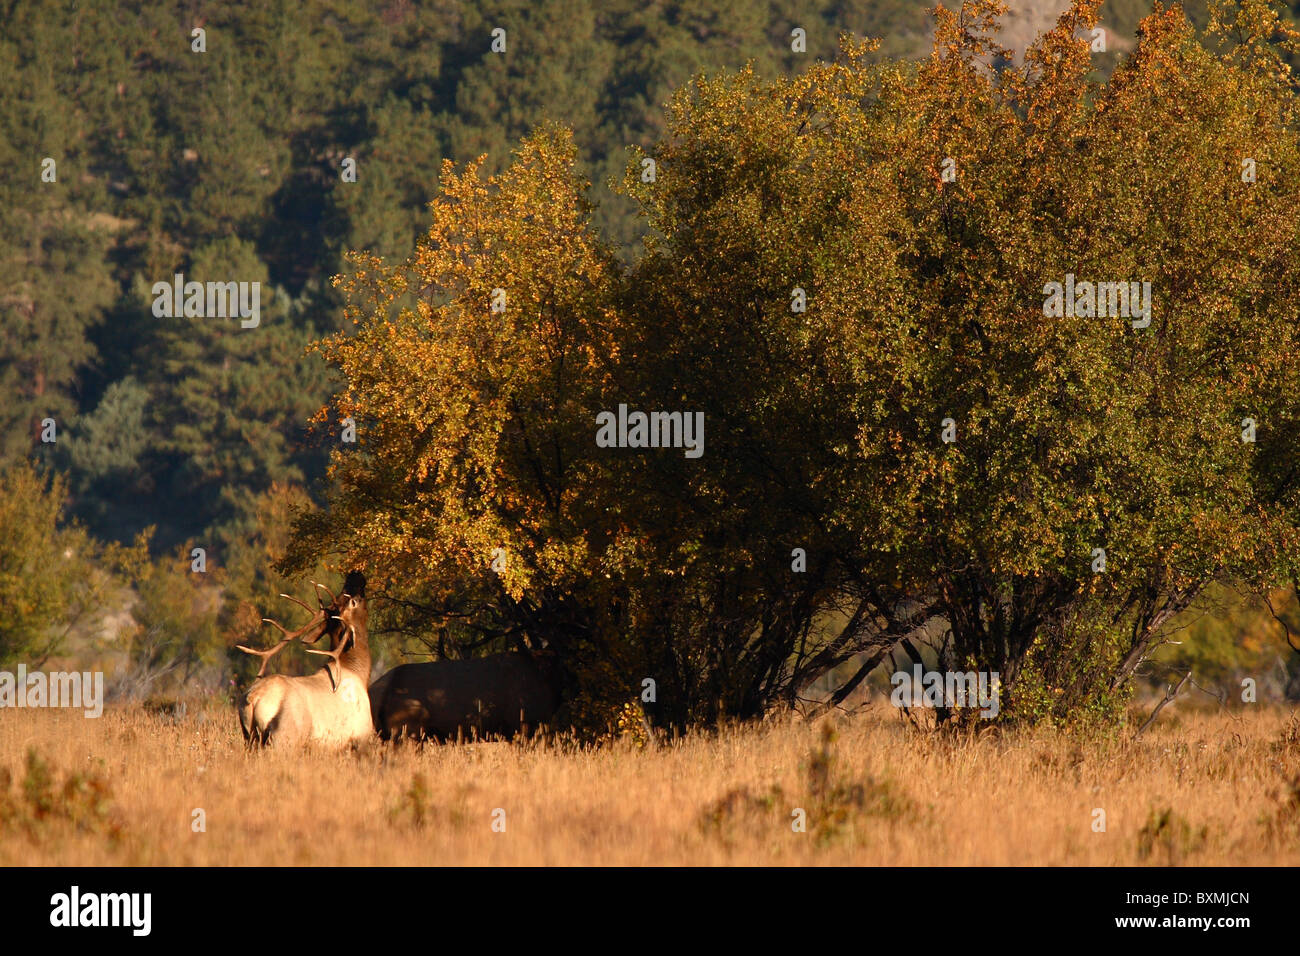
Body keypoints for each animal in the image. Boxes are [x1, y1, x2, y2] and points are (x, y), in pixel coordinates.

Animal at [236, 571, 374, 747]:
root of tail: (253, 698)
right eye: (355, 599)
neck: (359, 672)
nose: (355, 573)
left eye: (341, 594)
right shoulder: (361, 737)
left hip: (249, 737)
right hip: (284, 737)